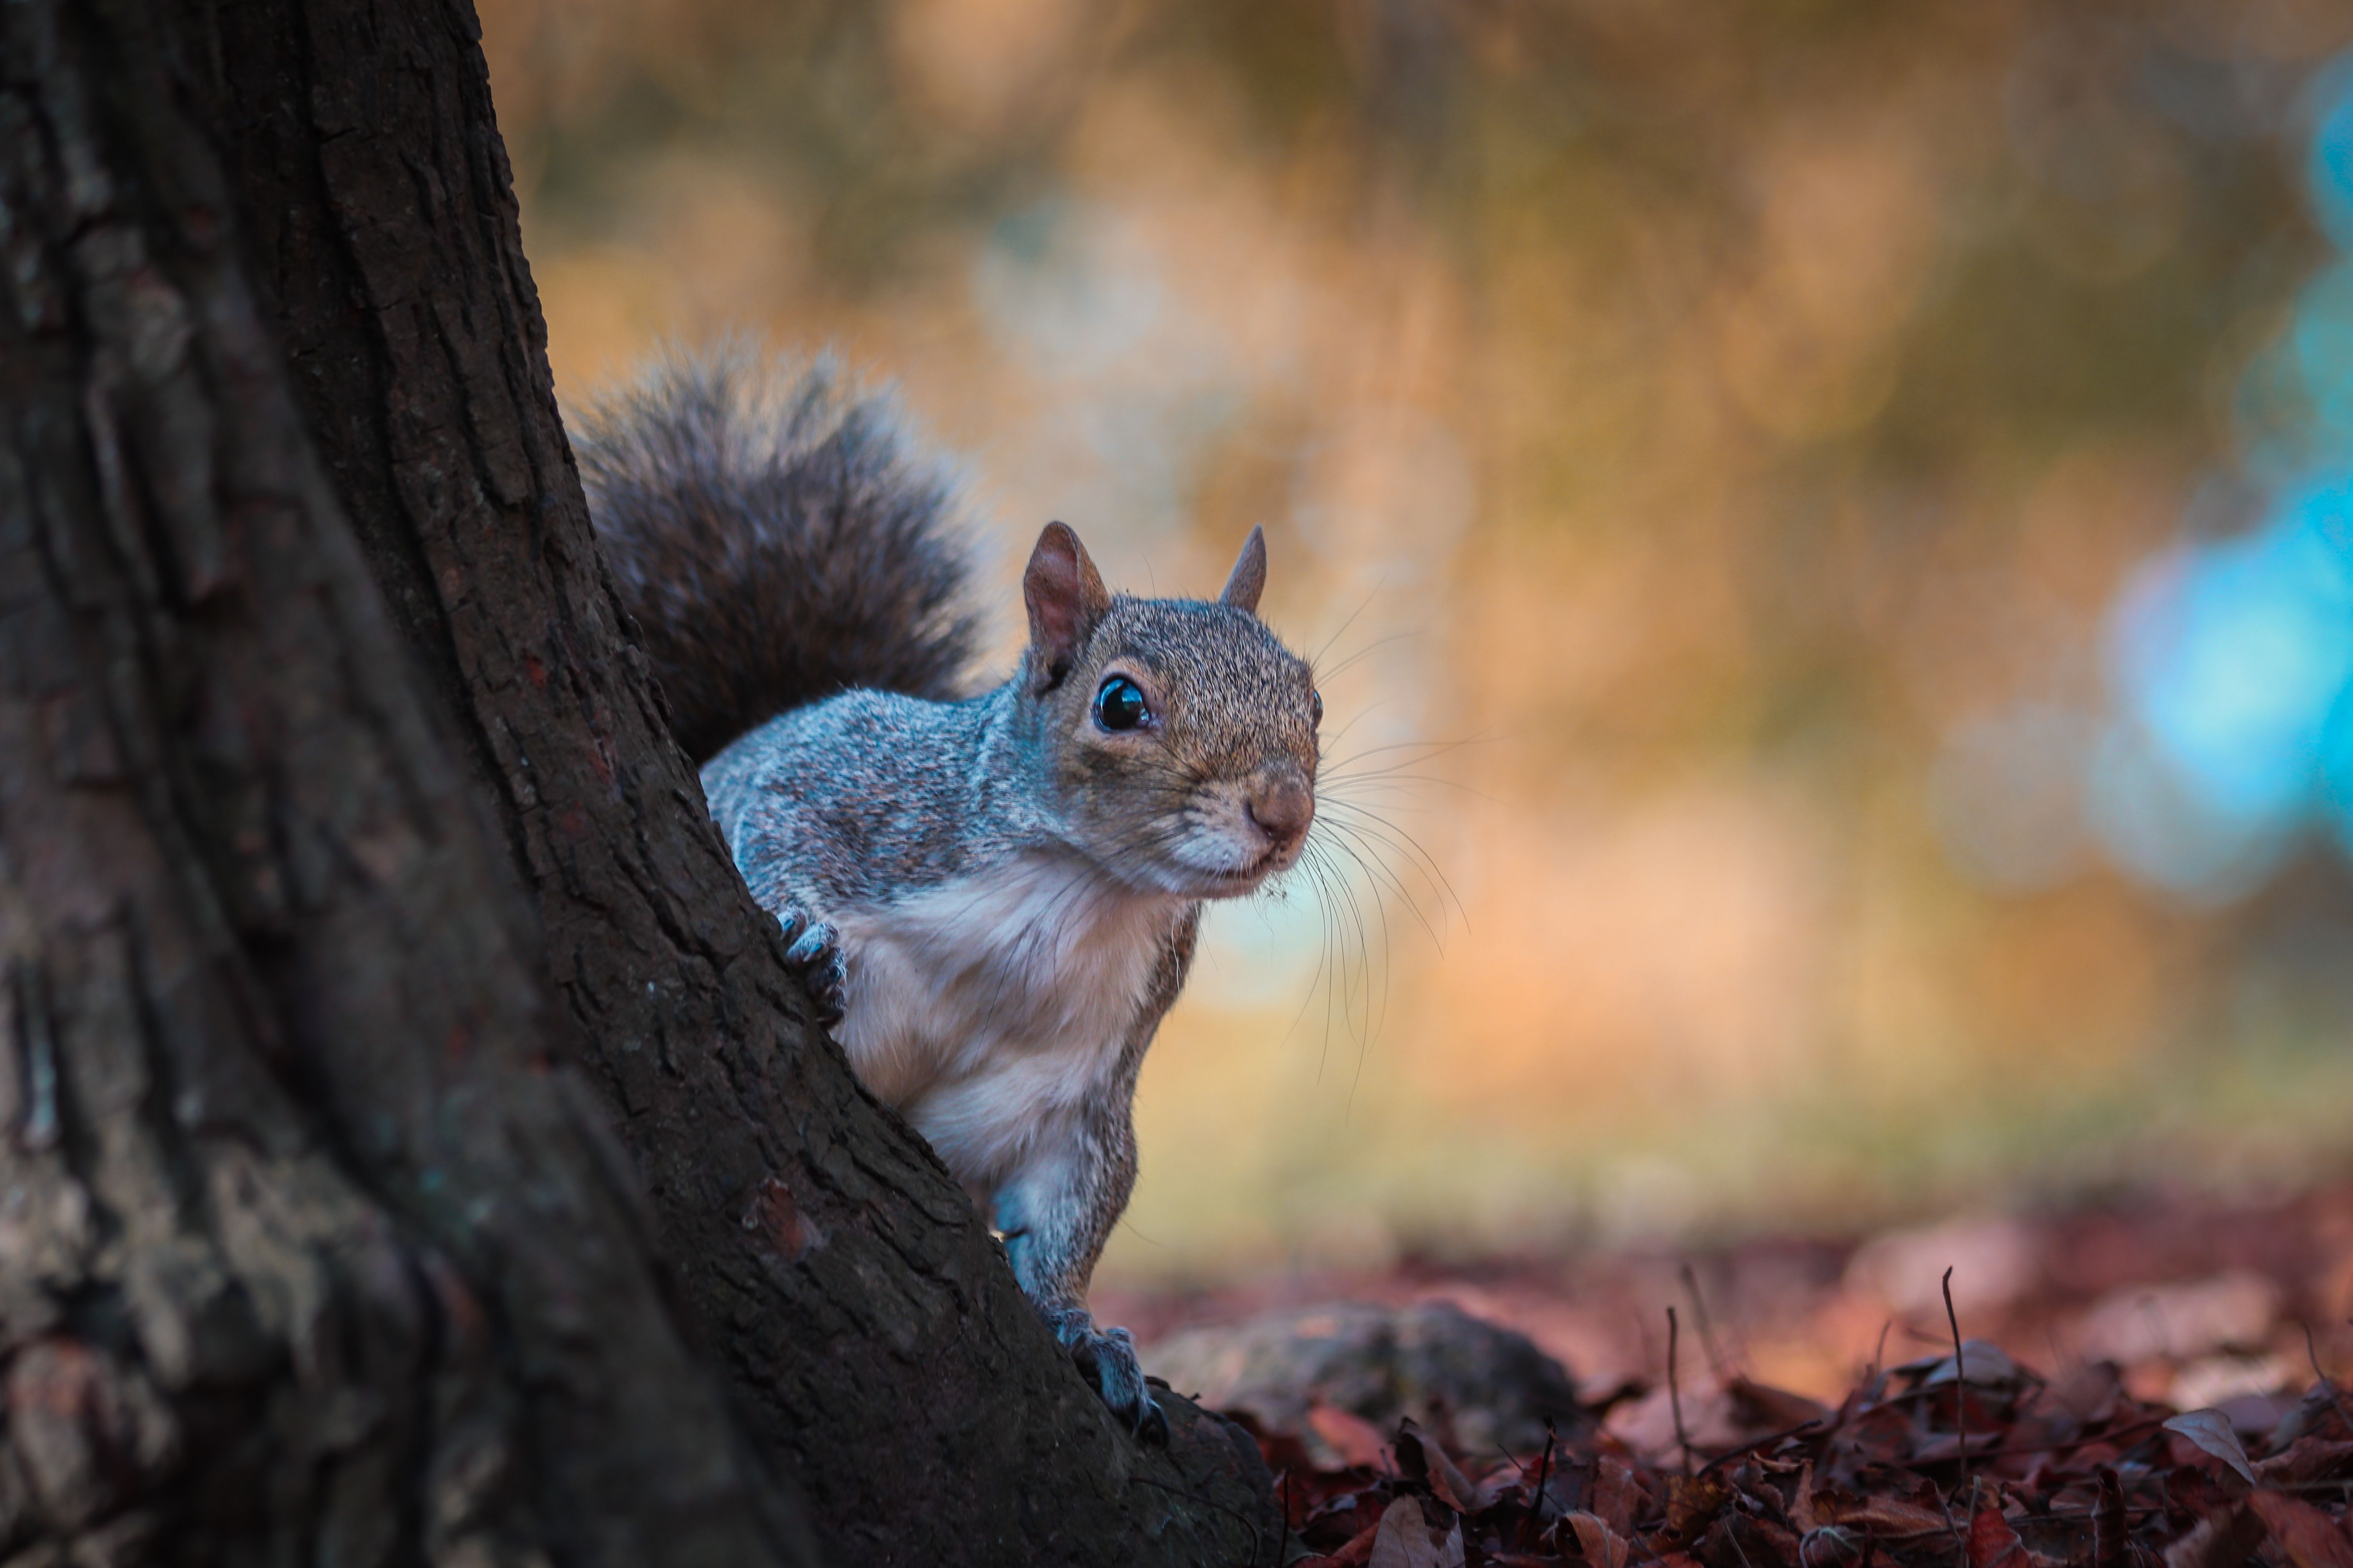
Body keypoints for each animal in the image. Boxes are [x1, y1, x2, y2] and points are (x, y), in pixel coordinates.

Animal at [574, 347, 1321, 1441]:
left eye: (1312, 696)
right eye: (1120, 702)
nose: (1284, 810)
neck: (1078, 892)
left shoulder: (1083, 1092)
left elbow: (1071, 1210)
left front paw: (1079, 1328)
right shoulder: (841, 786)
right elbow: (771, 839)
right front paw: (802, 939)